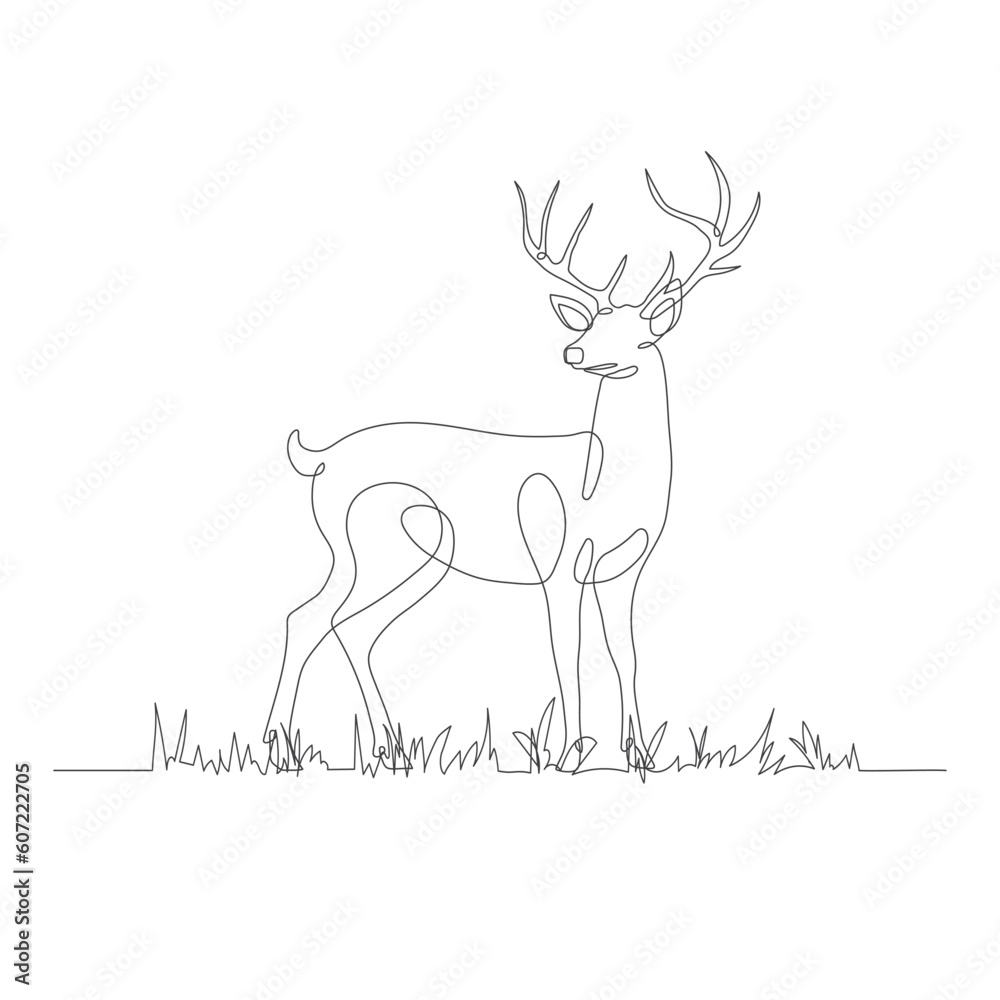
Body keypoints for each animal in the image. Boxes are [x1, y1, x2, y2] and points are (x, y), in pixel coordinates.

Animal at [263, 154, 760, 771]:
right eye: (589, 323)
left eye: (643, 337)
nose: (574, 351)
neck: (602, 485)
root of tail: (320, 458)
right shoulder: (560, 562)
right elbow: (567, 654)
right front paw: (570, 754)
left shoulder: (627, 568)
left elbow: (625, 654)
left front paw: (640, 754)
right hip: (366, 547)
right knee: (316, 618)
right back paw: (284, 745)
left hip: (405, 558)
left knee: (344, 626)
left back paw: (386, 748)